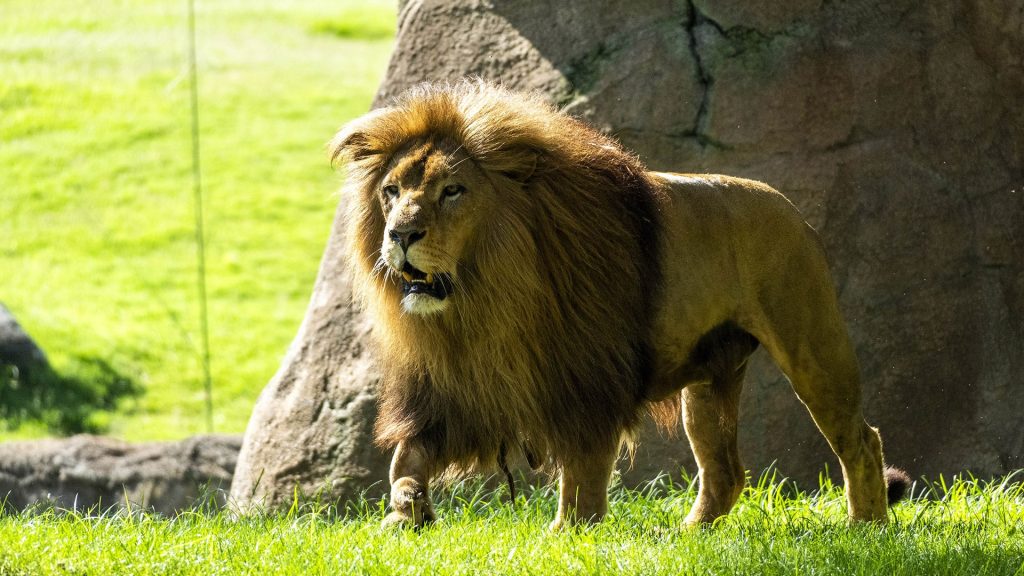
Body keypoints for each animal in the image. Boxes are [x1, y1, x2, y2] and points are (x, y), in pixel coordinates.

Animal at [329, 80, 909, 529]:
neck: (486, 298)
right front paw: (406, 511)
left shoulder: (588, 382)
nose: (400, 235)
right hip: (706, 383)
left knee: (862, 439)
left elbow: (584, 472)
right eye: (391, 192)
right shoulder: (455, 390)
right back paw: (688, 536)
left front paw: (568, 533)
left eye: (452, 191)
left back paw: (866, 526)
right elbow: (407, 457)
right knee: (725, 472)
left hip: (813, 349)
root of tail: (793, 209)